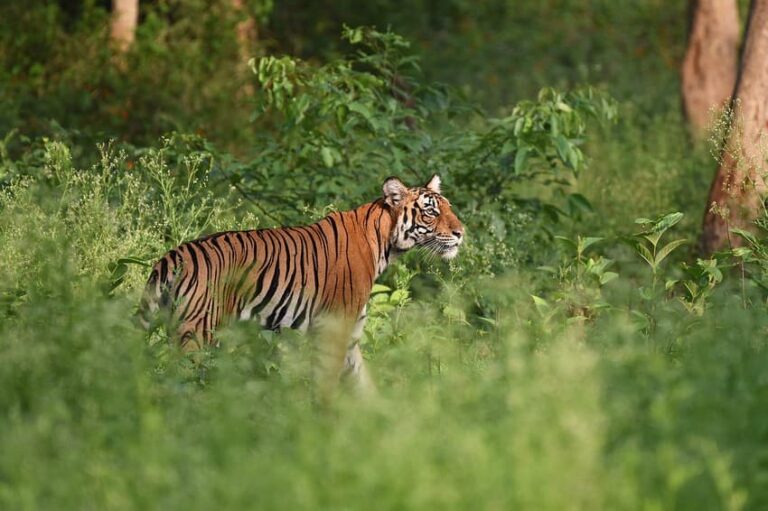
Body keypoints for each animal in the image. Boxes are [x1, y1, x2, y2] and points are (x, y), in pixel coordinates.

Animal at [139, 174, 464, 389]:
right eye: (431, 211)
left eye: (449, 207)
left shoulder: (350, 332)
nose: (462, 232)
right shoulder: (333, 326)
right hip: (197, 334)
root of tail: (171, 256)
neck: (385, 242)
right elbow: (327, 381)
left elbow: (362, 382)